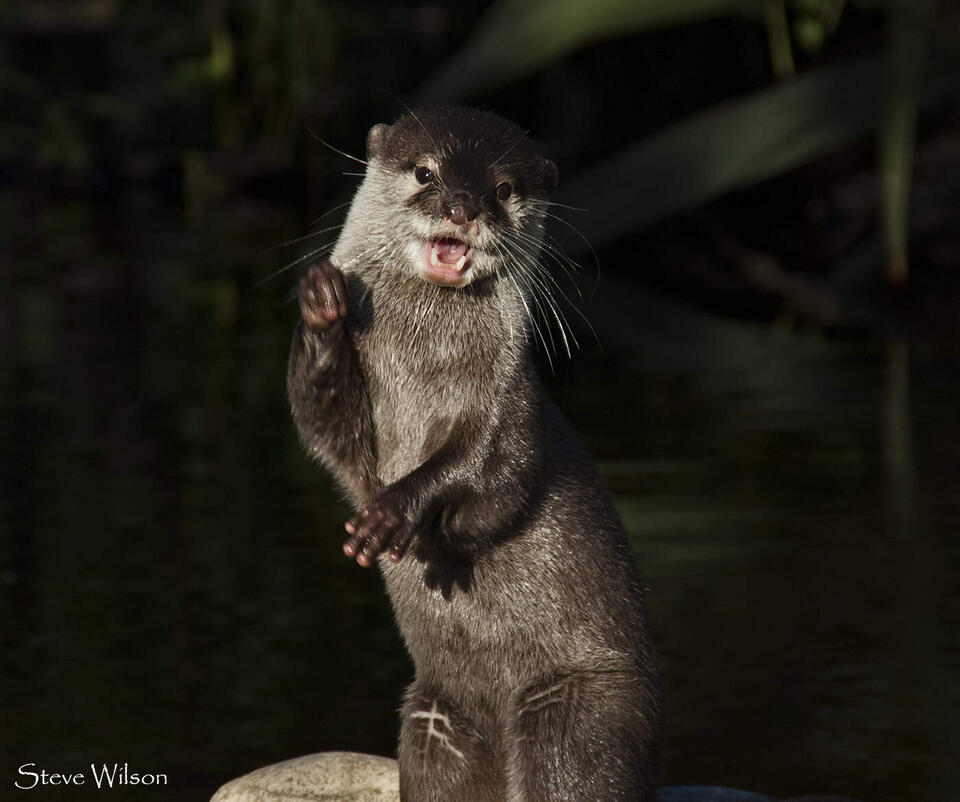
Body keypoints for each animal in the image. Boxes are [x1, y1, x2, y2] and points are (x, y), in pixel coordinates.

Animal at [287, 106, 663, 802]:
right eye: (425, 172)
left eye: (503, 189)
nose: (462, 207)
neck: (425, 368)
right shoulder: (353, 447)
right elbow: (324, 430)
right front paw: (322, 304)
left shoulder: (506, 405)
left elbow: (494, 475)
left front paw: (394, 513)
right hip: (435, 724)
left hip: (578, 720)